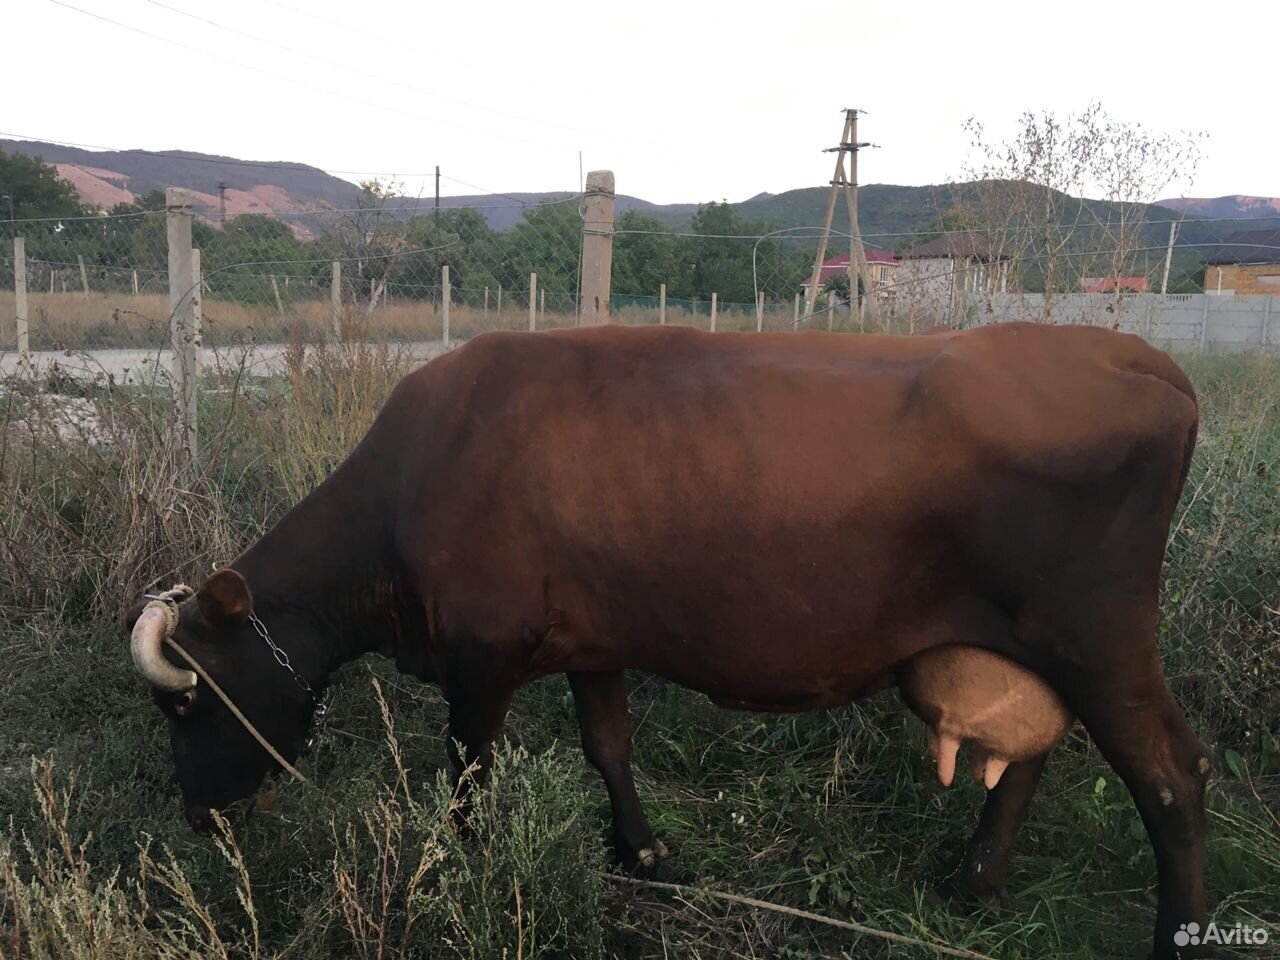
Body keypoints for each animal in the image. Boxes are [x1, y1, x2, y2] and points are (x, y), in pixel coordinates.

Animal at [127, 322, 1210, 958]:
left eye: (185, 702)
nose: (198, 817)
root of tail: (1128, 352)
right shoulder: (593, 639)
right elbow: (608, 744)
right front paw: (643, 853)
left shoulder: (481, 656)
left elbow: (468, 776)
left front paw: (459, 873)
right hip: (1043, 643)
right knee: (1034, 749)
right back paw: (973, 879)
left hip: (1098, 633)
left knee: (1170, 777)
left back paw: (1179, 931)